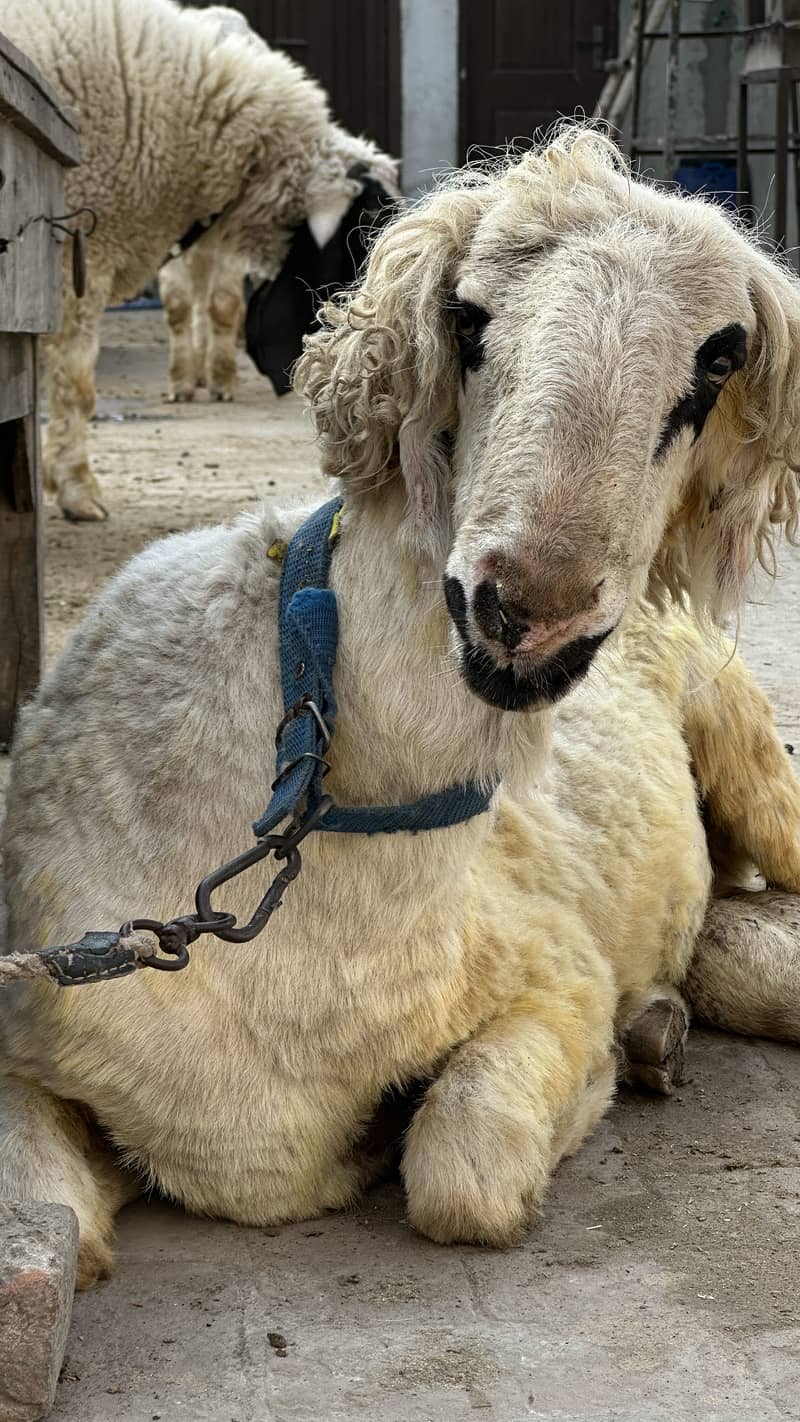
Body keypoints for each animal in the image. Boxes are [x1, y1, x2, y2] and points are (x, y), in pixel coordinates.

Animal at [3, 129, 800, 1290]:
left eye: (717, 357)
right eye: (466, 319)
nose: (530, 611)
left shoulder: (550, 974)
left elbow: (460, 1172)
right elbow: (50, 1217)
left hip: (745, 745)